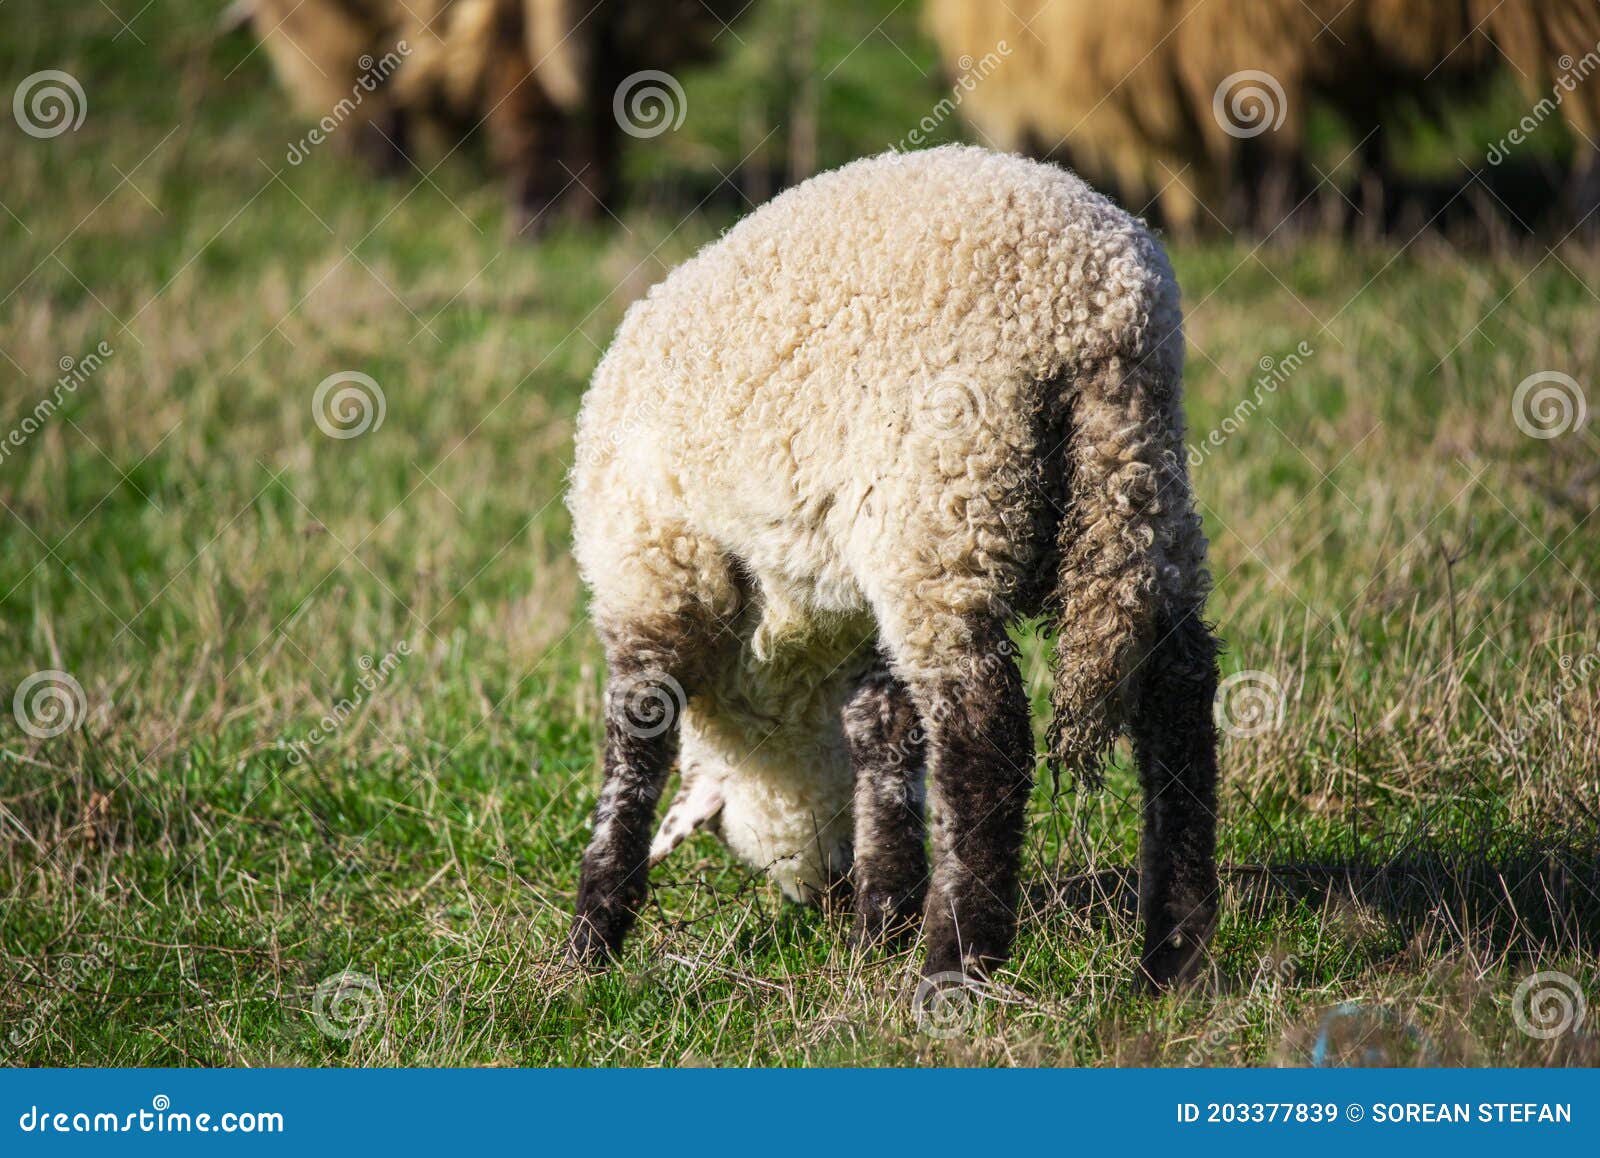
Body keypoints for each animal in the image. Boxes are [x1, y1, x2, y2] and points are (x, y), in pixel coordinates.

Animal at [565, 145, 1221, 988]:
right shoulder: (851, 613)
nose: (828, 897)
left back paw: (955, 966)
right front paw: (881, 921)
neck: (782, 664)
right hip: (1143, 485)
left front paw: (589, 942)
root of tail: (1099, 307)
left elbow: (633, 750)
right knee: (1178, 691)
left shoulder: (655, 572)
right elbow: (885, 741)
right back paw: (1174, 956)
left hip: (944, 503)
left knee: (986, 735)